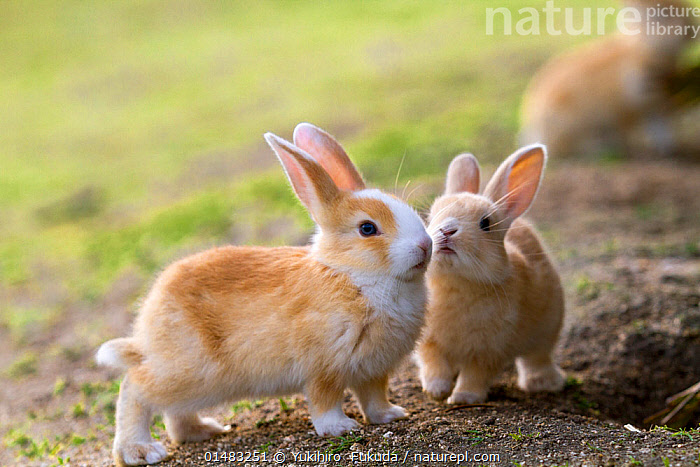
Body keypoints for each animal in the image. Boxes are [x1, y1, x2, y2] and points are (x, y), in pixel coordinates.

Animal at [96, 123, 432, 466]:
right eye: (367, 229)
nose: (425, 246)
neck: (352, 274)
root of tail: (149, 319)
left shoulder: (373, 370)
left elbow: (374, 397)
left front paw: (391, 415)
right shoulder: (323, 367)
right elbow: (325, 401)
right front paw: (340, 428)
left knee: (173, 412)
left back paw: (203, 431)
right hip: (190, 371)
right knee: (134, 387)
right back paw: (140, 450)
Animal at [416, 144, 565, 405]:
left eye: (486, 223)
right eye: (432, 216)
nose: (446, 230)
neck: (456, 283)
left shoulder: (489, 350)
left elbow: (474, 375)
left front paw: (463, 398)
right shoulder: (429, 343)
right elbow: (434, 364)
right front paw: (436, 390)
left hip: (547, 329)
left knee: (537, 358)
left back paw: (544, 383)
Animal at [520, 0, 697, 159]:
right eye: (662, 16)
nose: (692, 30)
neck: (643, 48)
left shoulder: (656, 105)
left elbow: (661, 129)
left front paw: (669, 152)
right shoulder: (626, 108)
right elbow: (629, 131)